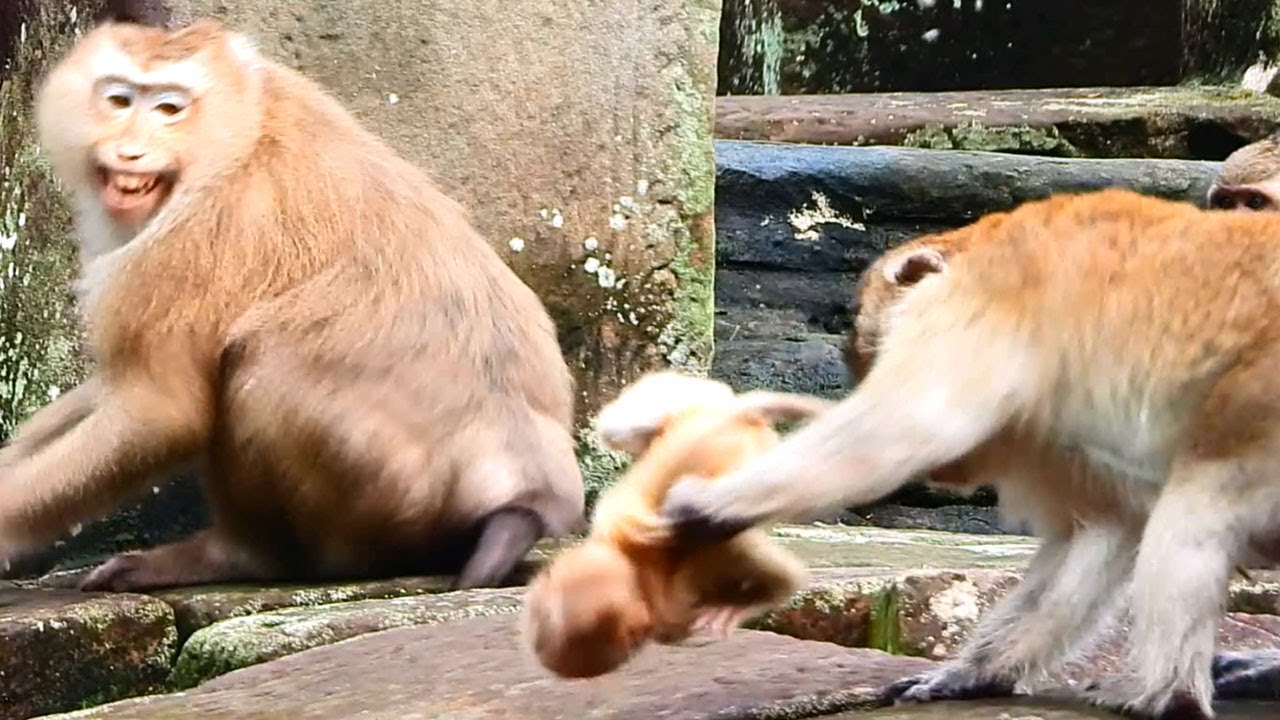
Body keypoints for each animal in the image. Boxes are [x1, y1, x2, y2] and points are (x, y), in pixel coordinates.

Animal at [0, 19, 584, 593]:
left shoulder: (195, 238)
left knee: (263, 363)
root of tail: (536, 489)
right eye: (120, 100)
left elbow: (161, 411)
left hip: (398, 496)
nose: (128, 150)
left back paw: (241, 556)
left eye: (168, 108)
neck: (235, 133)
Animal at [659, 188, 1280, 720]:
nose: (946, 473)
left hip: (1262, 406)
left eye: (874, 354)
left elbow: (908, 424)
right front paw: (974, 674)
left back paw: (1167, 696)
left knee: (1198, 502)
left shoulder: (975, 307)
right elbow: (1105, 527)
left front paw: (705, 506)